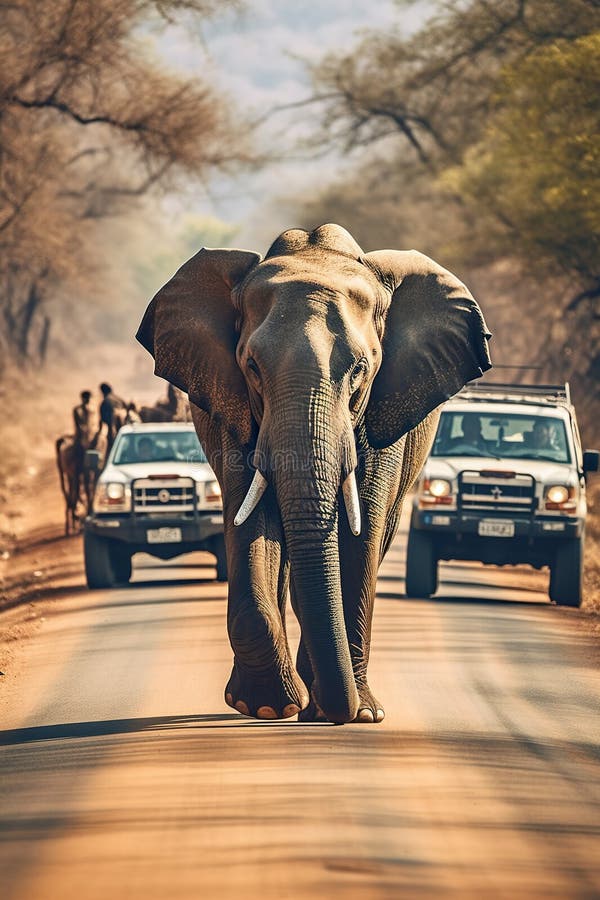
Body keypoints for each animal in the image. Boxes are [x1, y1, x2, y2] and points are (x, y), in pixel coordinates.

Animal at [137, 223, 491, 725]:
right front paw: (268, 705)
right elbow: (250, 519)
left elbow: (362, 530)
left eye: (361, 369)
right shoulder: (232, 403)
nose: (340, 710)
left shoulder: (385, 406)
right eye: (251, 366)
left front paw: (358, 714)